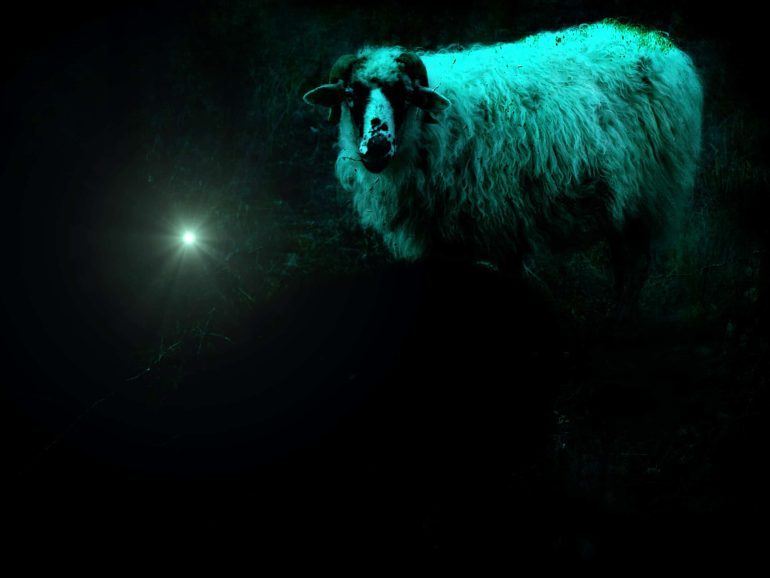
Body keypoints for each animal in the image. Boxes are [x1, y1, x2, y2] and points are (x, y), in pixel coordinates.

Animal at [303, 21, 703, 318]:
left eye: (404, 94)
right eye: (351, 94)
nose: (376, 147)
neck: (433, 130)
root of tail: (661, 44)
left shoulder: (503, 222)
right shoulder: (444, 238)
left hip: (648, 197)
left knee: (634, 269)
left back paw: (616, 324)